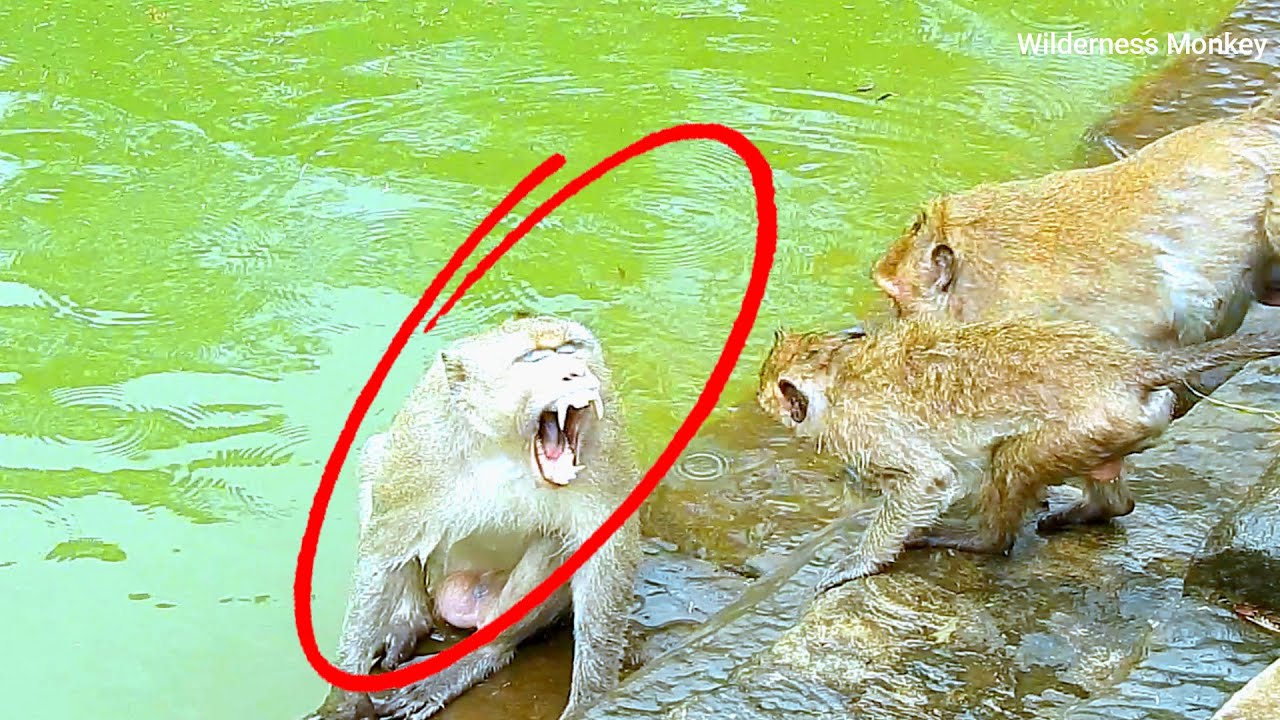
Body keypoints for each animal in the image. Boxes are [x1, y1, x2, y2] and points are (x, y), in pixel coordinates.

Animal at [305, 315, 640, 720]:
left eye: (570, 348)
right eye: (533, 358)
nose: (575, 372)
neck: (507, 448)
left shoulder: (606, 441)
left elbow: (606, 549)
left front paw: (591, 700)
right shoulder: (423, 444)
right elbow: (383, 550)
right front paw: (345, 701)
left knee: (559, 542)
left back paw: (482, 653)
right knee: (375, 457)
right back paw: (408, 619)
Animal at [756, 317, 1280, 593]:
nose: (778, 415)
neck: (838, 374)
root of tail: (1127, 367)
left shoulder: (861, 428)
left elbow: (927, 479)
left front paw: (859, 563)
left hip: (1083, 425)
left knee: (1010, 461)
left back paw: (985, 540)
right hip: (1115, 425)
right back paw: (1104, 506)